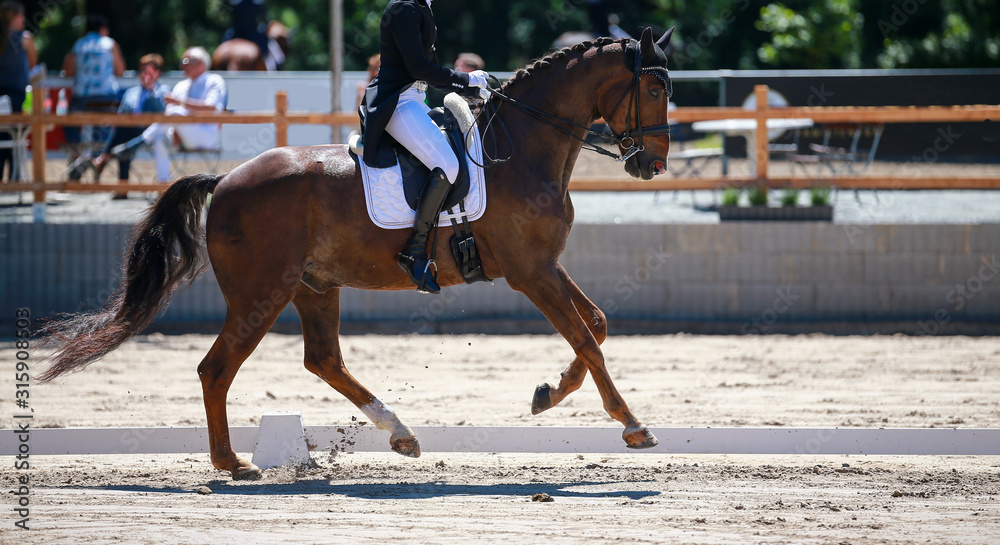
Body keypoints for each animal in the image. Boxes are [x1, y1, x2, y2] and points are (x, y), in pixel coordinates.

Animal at [38, 28, 675, 480]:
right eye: (653, 90)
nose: (653, 164)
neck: (520, 145)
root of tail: (226, 180)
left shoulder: (544, 266)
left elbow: (597, 324)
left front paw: (547, 395)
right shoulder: (529, 272)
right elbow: (587, 339)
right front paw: (633, 426)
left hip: (314, 286)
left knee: (323, 360)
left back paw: (400, 434)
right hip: (261, 293)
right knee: (216, 368)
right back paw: (233, 463)